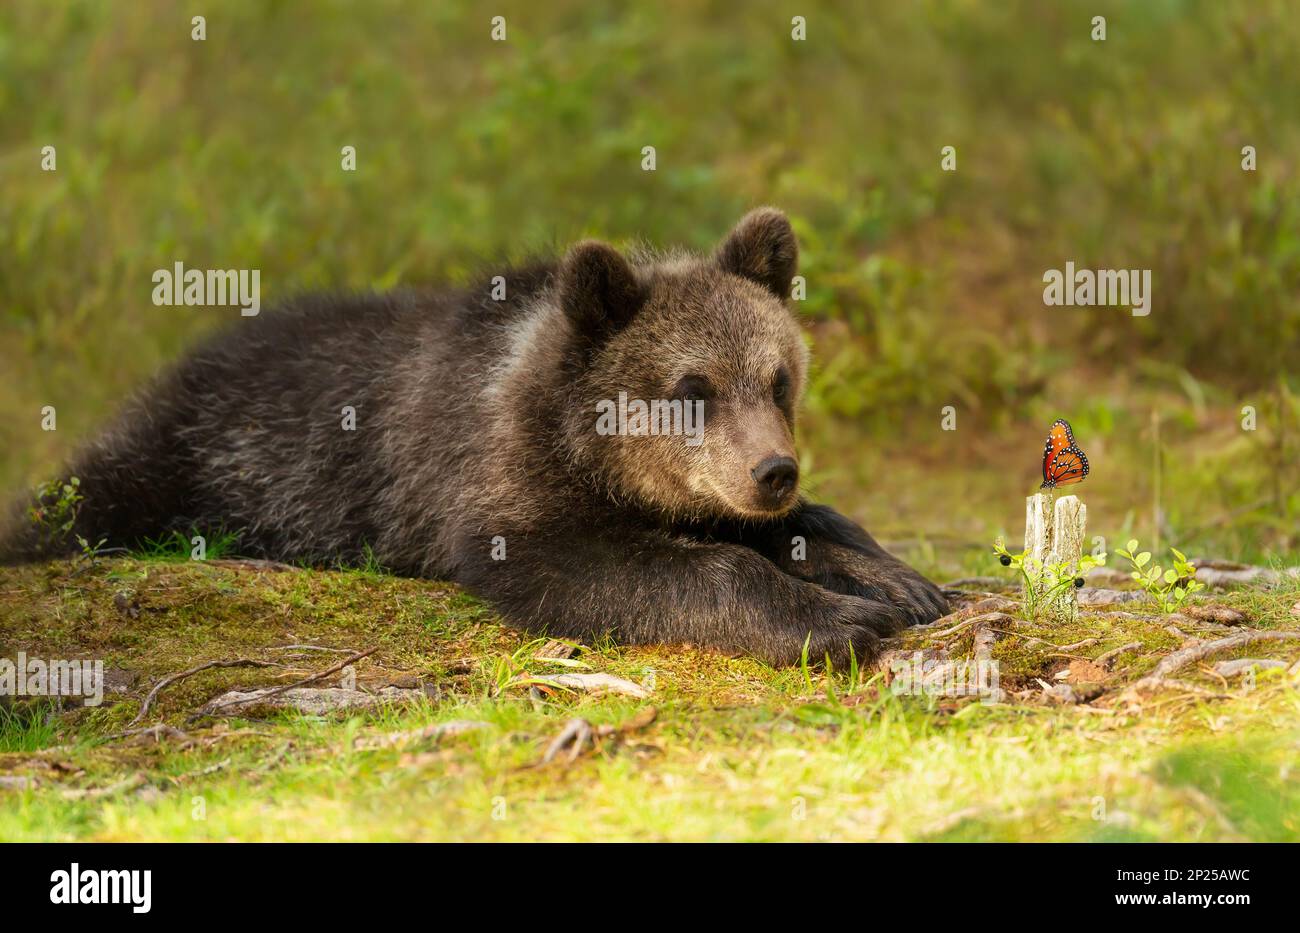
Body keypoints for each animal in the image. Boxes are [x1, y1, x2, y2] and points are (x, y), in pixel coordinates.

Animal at [1, 208, 948, 666]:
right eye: (691, 391)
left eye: (778, 377)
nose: (772, 470)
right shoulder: (497, 486)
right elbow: (616, 566)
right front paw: (836, 619)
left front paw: (898, 578)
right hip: (198, 452)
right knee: (82, 500)